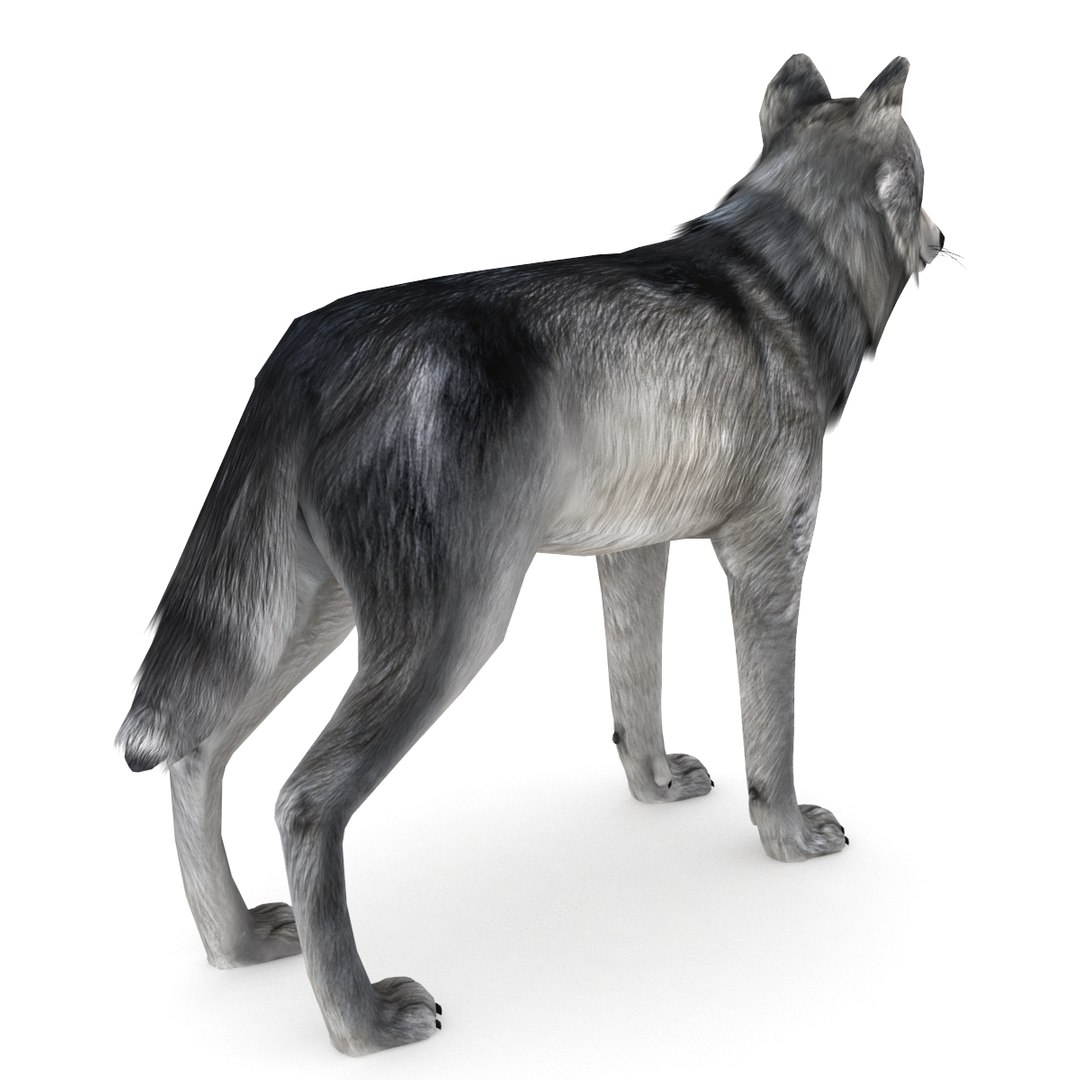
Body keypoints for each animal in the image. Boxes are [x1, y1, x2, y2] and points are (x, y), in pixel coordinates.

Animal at [118, 55, 943, 1055]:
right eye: (926, 181)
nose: (946, 235)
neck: (777, 273)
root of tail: (307, 348)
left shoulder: (634, 554)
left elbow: (636, 697)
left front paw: (655, 788)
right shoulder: (768, 565)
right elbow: (772, 735)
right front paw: (786, 839)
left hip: (312, 622)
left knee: (197, 752)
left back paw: (233, 944)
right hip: (451, 634)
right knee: (303, 801)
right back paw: (361, 1024)